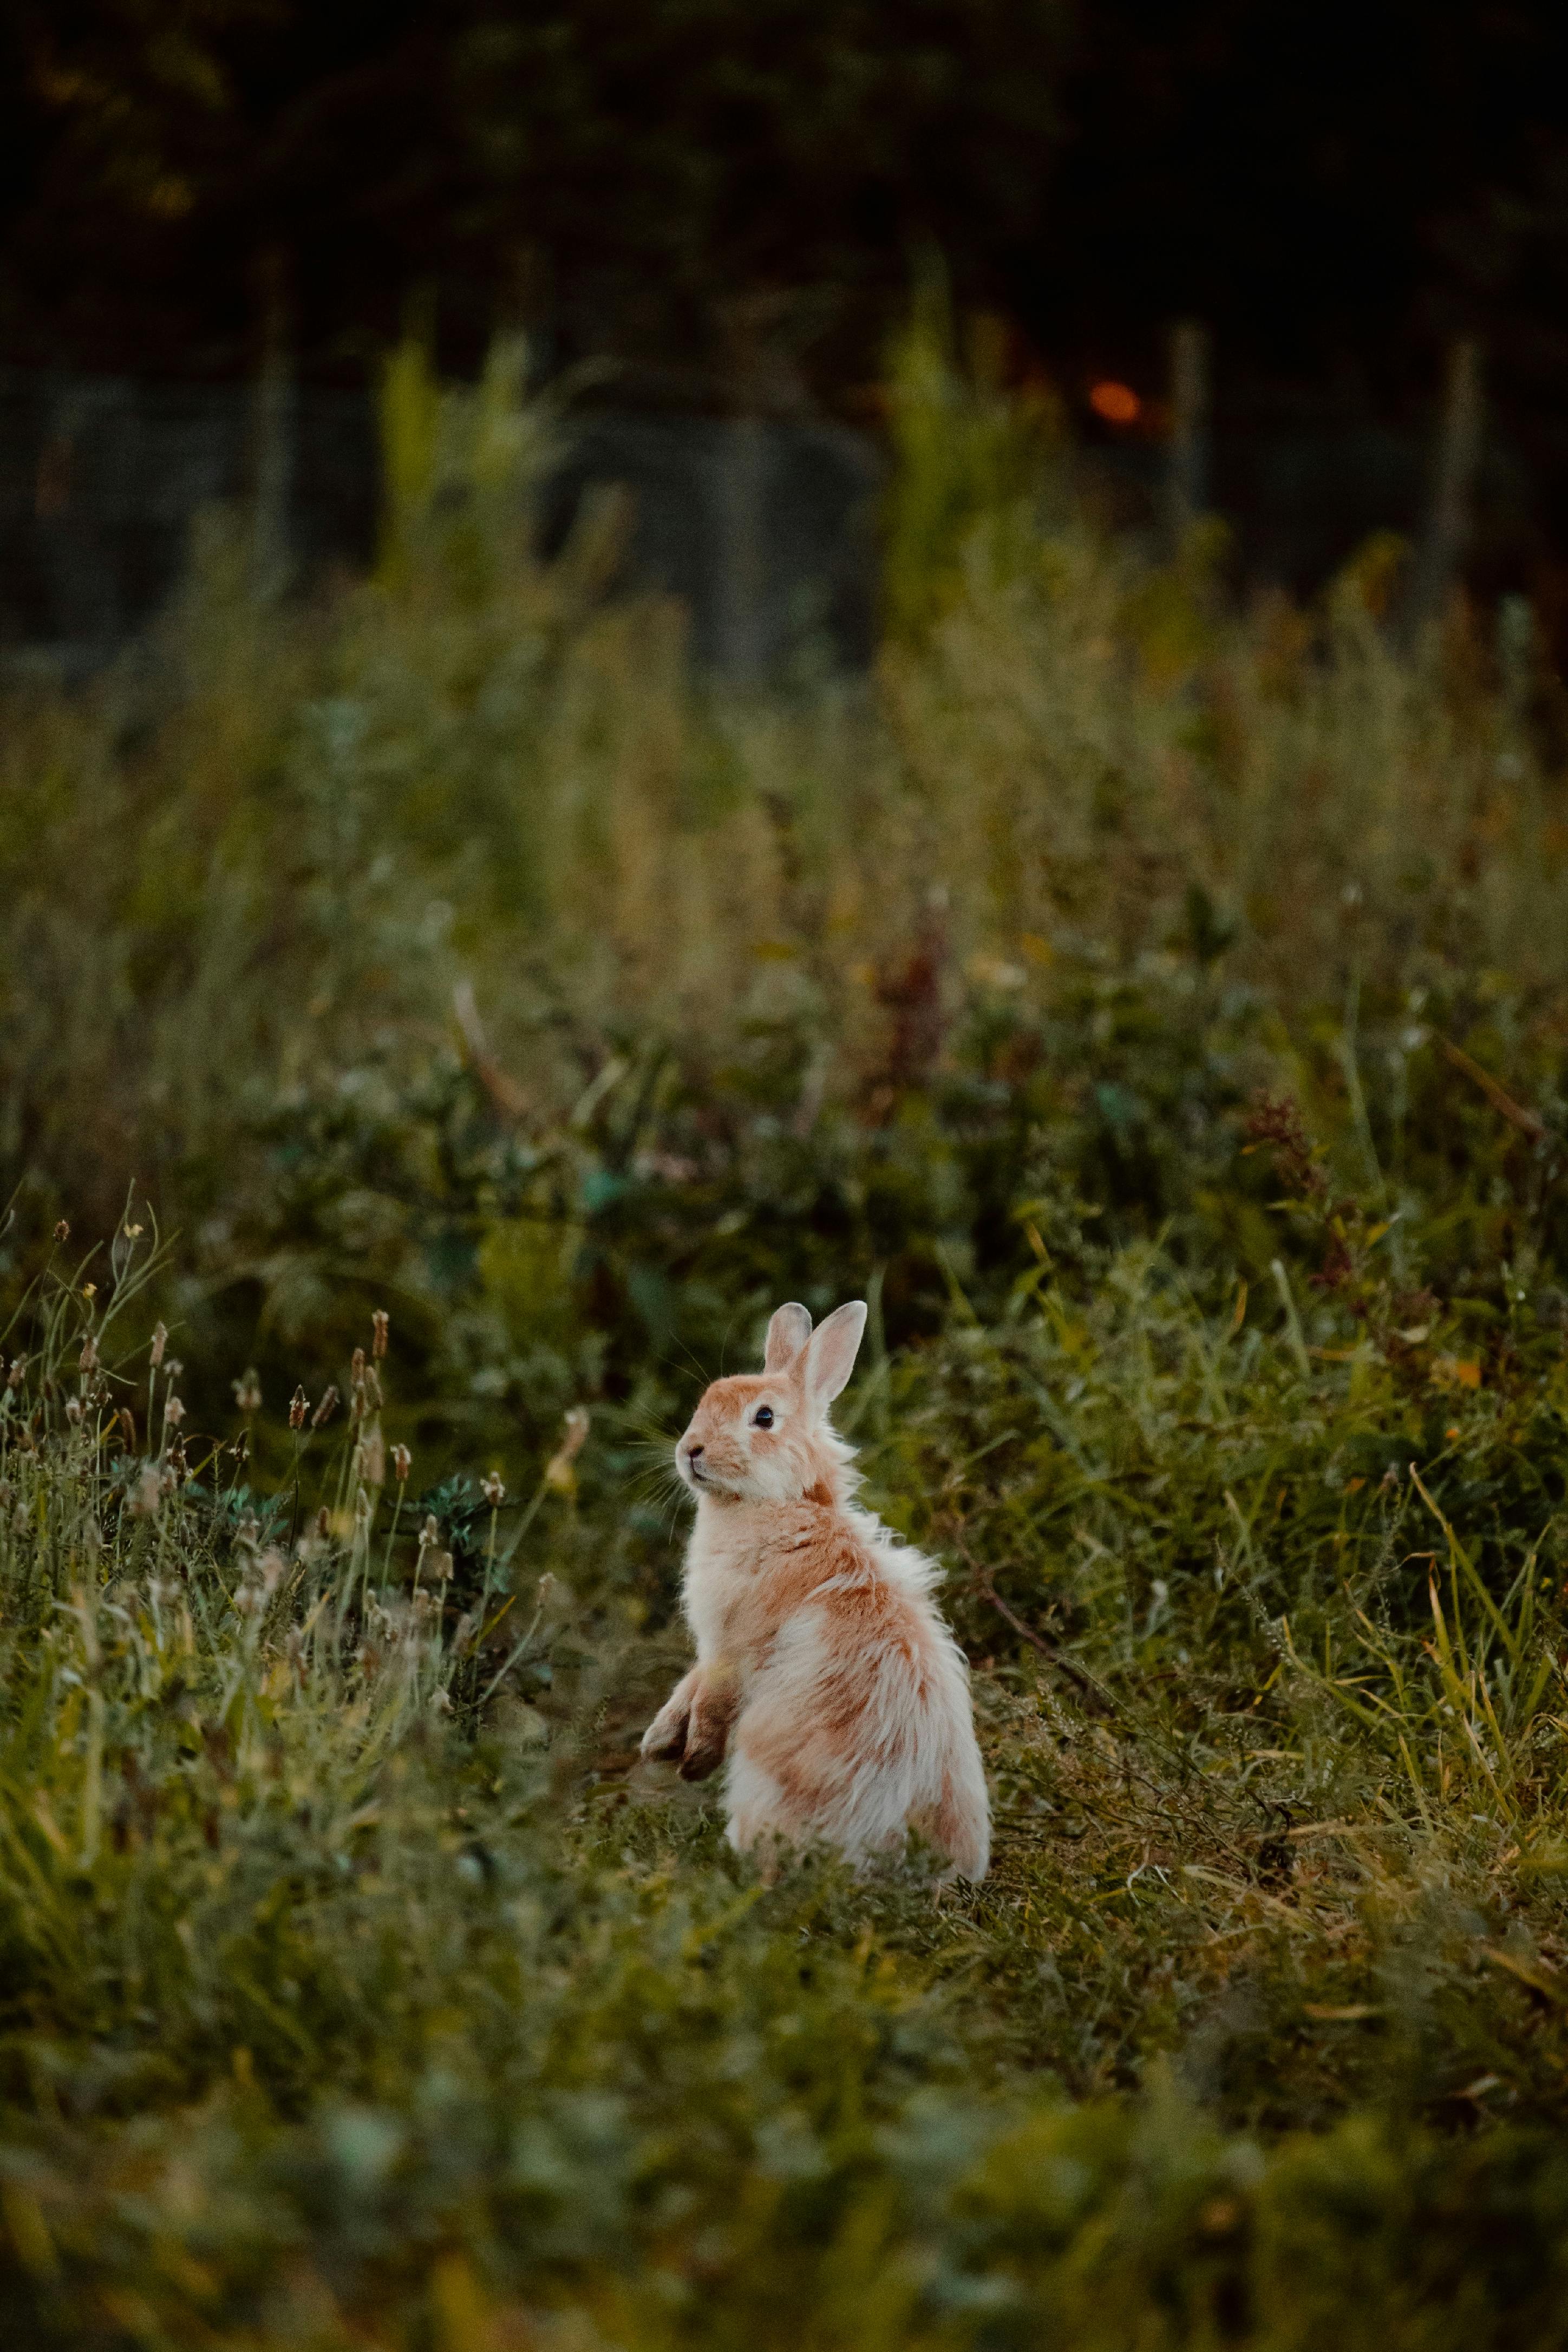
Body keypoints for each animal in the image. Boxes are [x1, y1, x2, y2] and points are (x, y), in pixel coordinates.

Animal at [639, 1299, 990, 1881]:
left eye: (764, 1418)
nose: (690, 1451)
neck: (783, 1506)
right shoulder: (712, 1646)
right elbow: (688, 1686)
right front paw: (657, 1744)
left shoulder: (733, 1646)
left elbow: (711, 1700)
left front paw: (692, 1761)